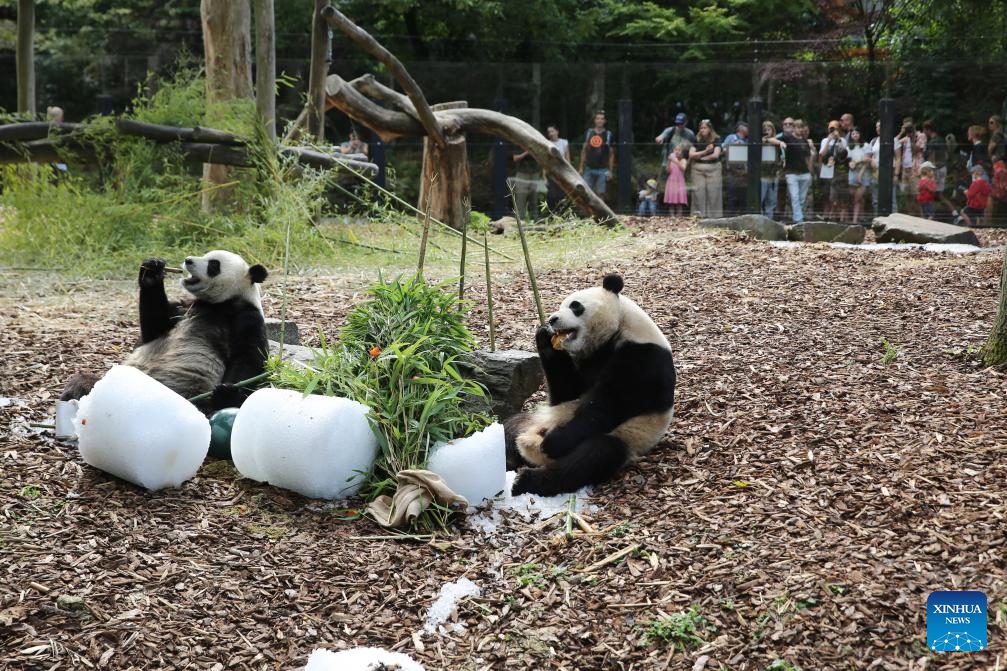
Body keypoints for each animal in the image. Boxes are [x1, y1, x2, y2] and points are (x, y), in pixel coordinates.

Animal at [61, 250, 269, 413]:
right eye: (206, 255)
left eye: (213, 264)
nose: (188, 260)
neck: (219, 303)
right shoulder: (184, 306)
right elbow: (153, 329)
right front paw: (152, 272)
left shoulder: (245, 316)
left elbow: (248, 357)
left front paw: (226, 392)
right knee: (84, 383)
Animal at [504, 273, 676, 496]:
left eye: (575, 306)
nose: (552, 319)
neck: (619, 328)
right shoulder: (590, 360)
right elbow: (568, 392)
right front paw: (545, 338)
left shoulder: (643, 358)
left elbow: (608, 406)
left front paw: (555, 441)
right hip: (535, 419)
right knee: (509, 426)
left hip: (630, 437)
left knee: (592, 457)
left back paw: (526, 479)